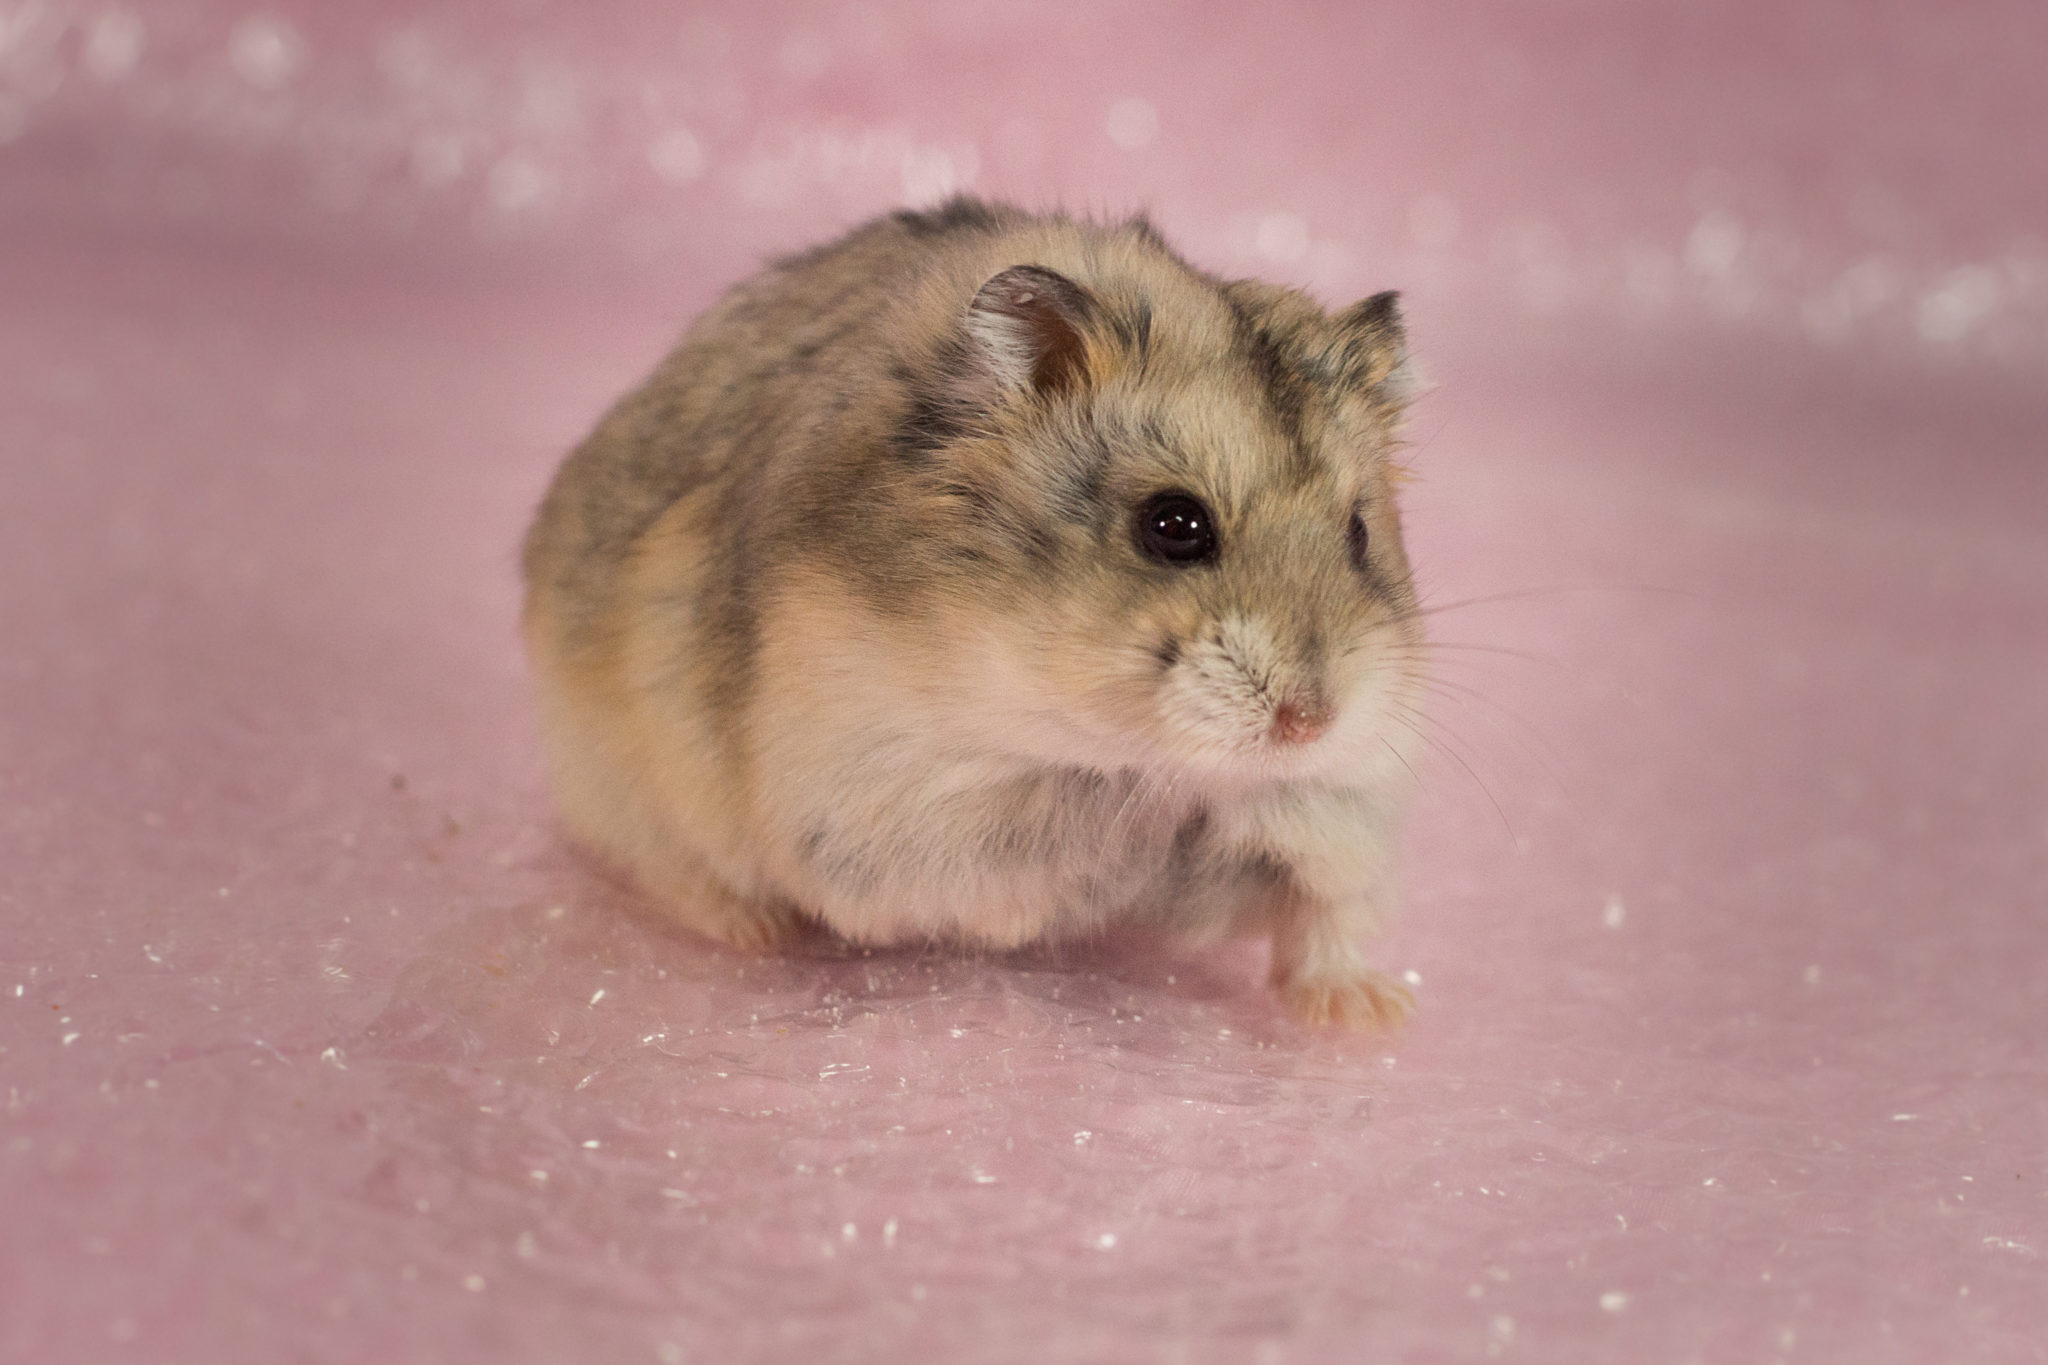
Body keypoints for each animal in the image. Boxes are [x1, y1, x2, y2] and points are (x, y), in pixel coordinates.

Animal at [521, 197, 1427, 1030]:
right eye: (1174, 526)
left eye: (1358, 534)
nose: (1309, 723)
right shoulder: (897, 806)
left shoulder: (1354, 801)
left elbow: (1321, 901)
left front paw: (1364, 1019)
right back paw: (757, 931)